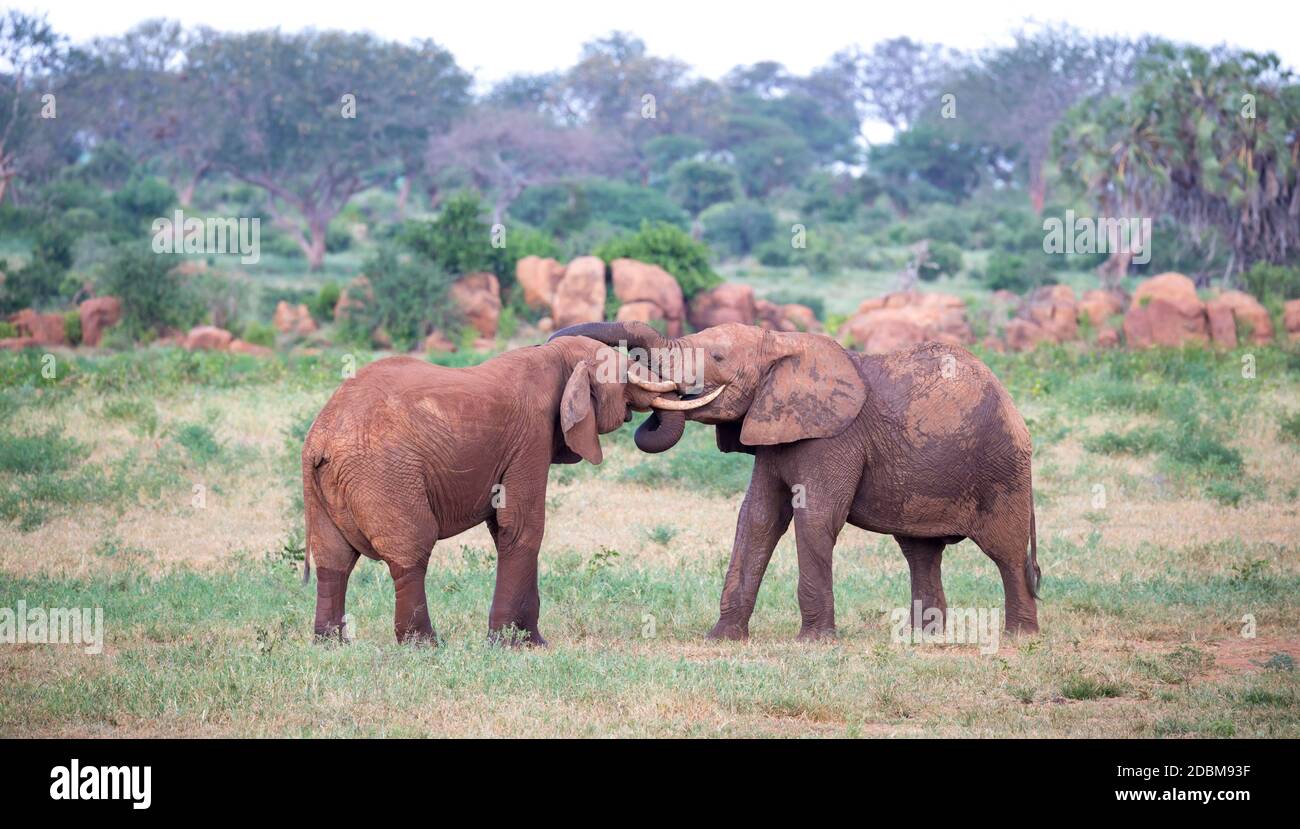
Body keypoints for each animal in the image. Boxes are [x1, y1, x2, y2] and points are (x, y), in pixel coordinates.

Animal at [301, 335, 674, 645]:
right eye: (626, 375)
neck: (556, 355)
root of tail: (320, 438)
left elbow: (503, 528)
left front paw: (530, 641)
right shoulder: (531, 438)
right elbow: (523, 526)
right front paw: (510, 645)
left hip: (327, 490)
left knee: (333, 559)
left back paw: (331, 644)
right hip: (386, 474)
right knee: (411, 550)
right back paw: (424, 645)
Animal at [549, 320, 1041, 640]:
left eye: (718, 357)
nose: (553, 341)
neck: (782, 343)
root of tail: (1013, 406)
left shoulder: (833, 437)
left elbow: (815, 517)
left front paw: (816, 642)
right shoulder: (772, 426)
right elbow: (757, 518)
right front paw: (722, 637)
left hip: (1004, 469)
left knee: (1006, 551)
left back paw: (1019, 637)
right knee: (921, 553)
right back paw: (926, 638)